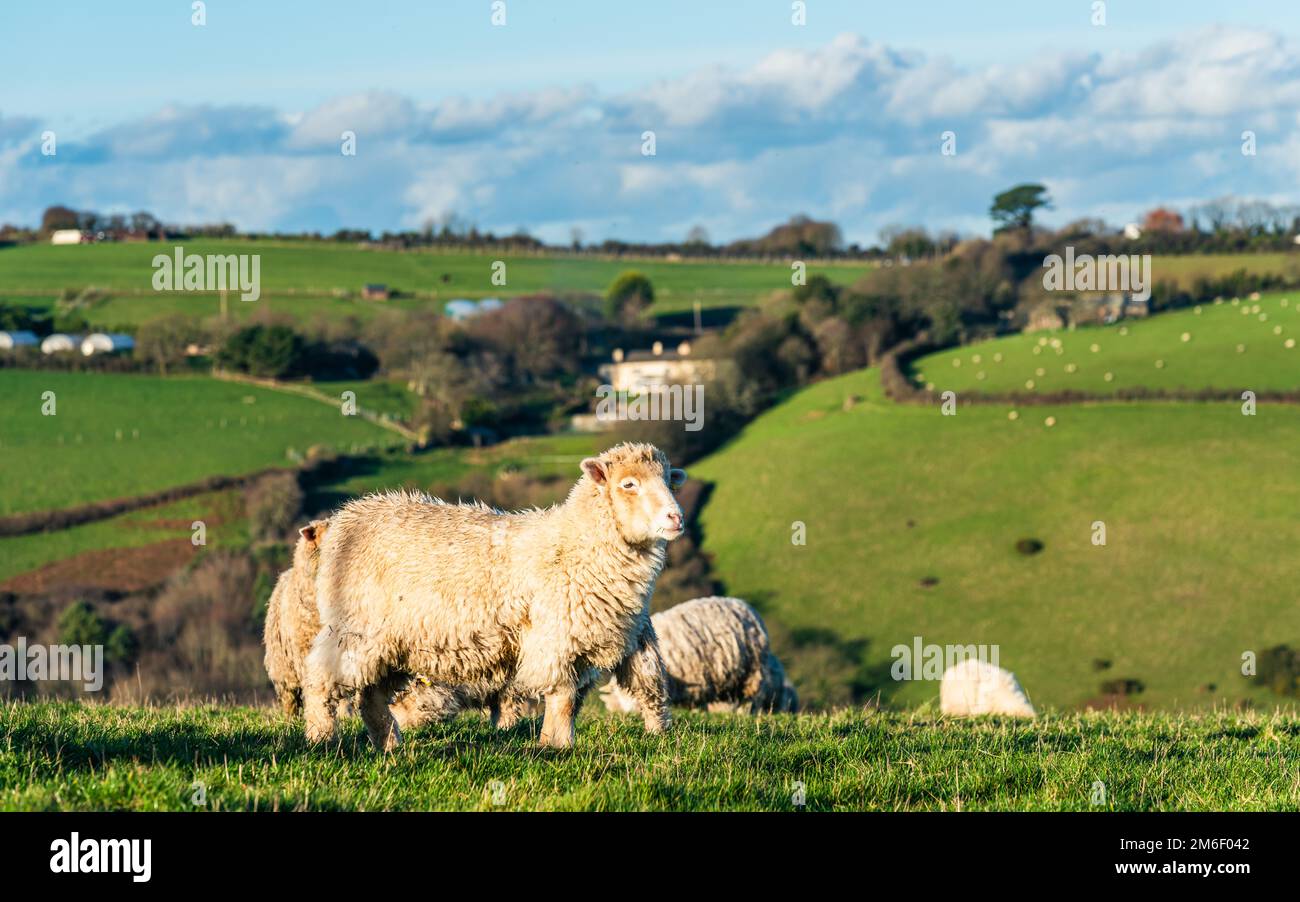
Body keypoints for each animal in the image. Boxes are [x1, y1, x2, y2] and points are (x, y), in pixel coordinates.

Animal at [303, 442, 687, 751]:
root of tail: (348, 516)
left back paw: (388, 744)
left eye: (669, 481)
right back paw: (321, 737)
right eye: (629, 484)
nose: (676, 517)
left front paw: (555, 741)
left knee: (370, 694)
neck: (576, 543)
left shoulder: (599, 639)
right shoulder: (554, 639)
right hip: (355, 627)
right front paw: (557, 746)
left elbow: (592, 695)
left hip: (393, 641)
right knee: (321, 679)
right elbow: (562, 696)